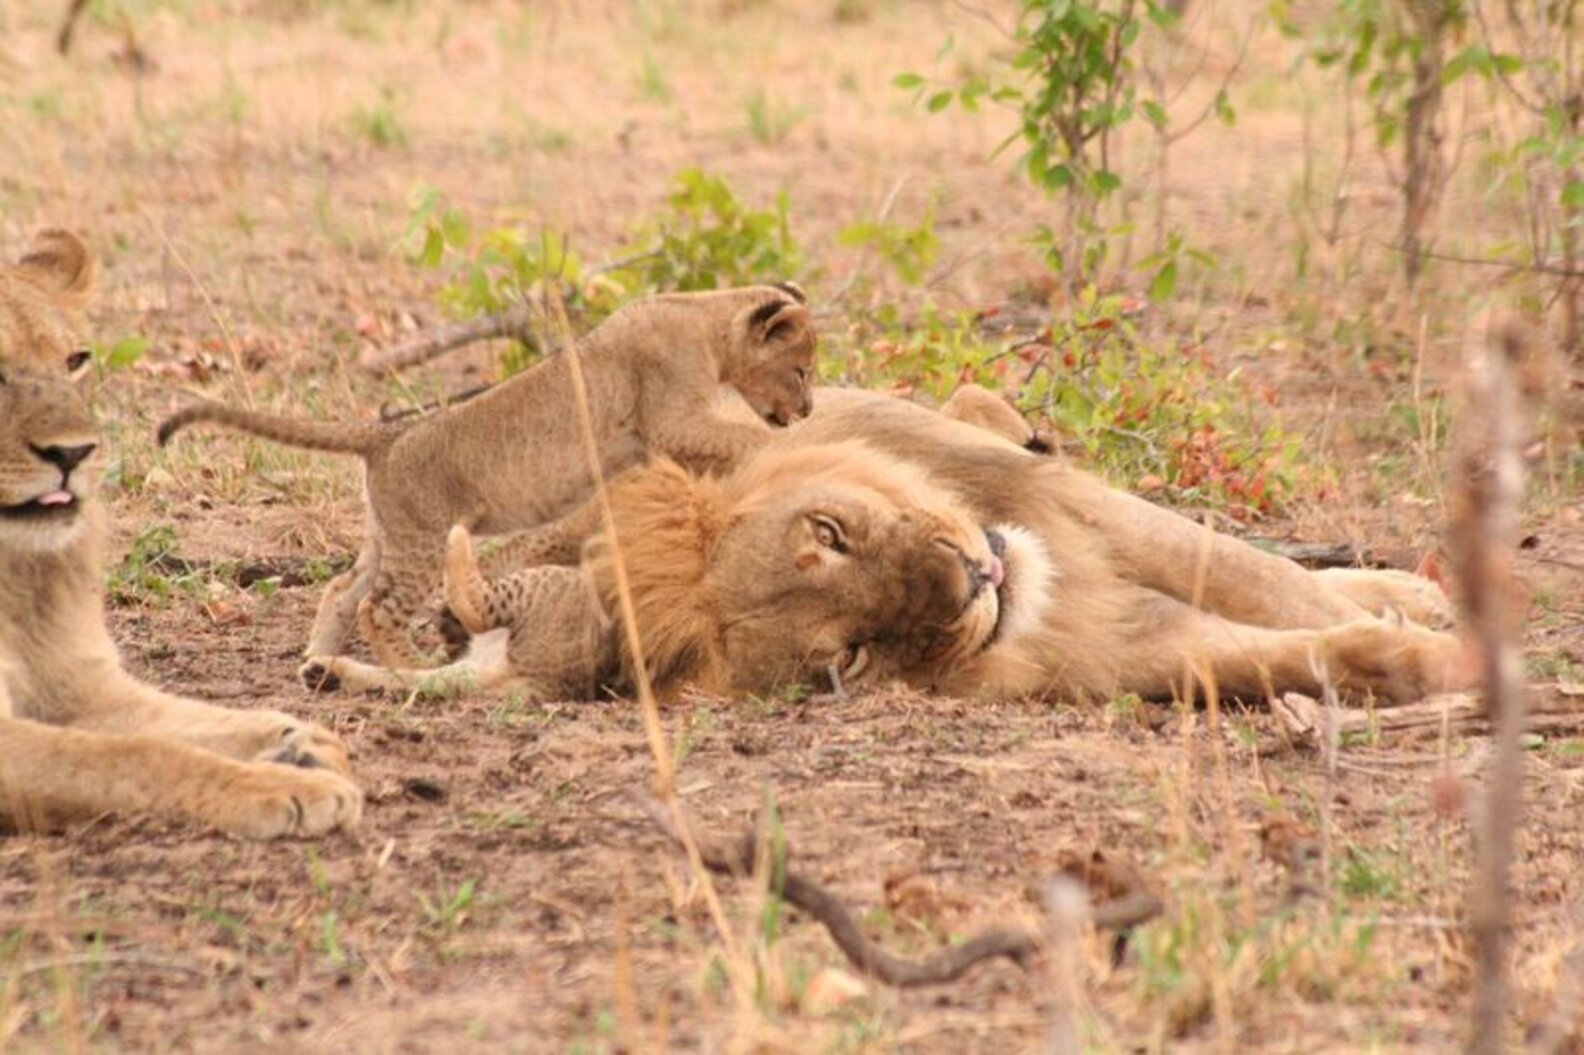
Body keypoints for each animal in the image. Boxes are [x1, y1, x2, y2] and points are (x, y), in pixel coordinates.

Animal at [0, 231, 361, 838]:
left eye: (74, 361)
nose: (73, 453)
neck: (16, 577)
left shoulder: (83, 688)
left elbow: (190, 721)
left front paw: (300, 744)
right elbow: (134, 757)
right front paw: (277, 786)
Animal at [158, 283, 817, 669]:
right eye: (803, 369)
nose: (808, 409)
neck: (705, 318)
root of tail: (385, 436)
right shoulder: (670, 417)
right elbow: (740, 438)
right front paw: (788, 446)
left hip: (388, 536)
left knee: (340, 589)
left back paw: (317, 664)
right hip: (424, 542)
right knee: (378, 608)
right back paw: (412, 671)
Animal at [301, 387, 1468, 707]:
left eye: (831, 530)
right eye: (848, 655)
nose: (973, 575)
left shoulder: (1084, 509)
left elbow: (1268, 580)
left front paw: (1453, 638)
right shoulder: (1119, 656)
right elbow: (1305, 651)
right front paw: (1428, 660)